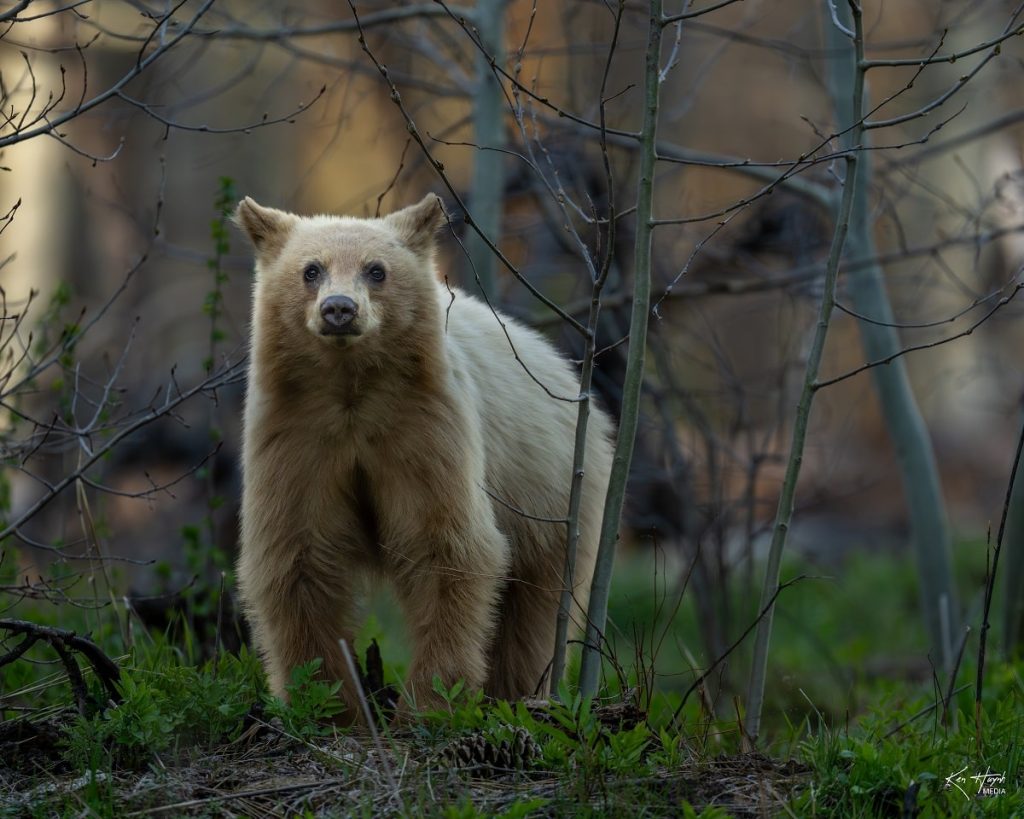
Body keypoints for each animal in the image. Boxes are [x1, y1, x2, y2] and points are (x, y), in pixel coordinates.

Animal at [233, 193, 614, 718]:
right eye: (311, 270)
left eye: (376, 270)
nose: (339, 309)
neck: (352, 390)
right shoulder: (297, 434)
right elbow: (298, 554)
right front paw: (327, 701)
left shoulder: (423, 430)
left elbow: (446, 548)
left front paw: (430, 702)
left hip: (551, 496)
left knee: (535, 608)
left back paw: (515, 694)